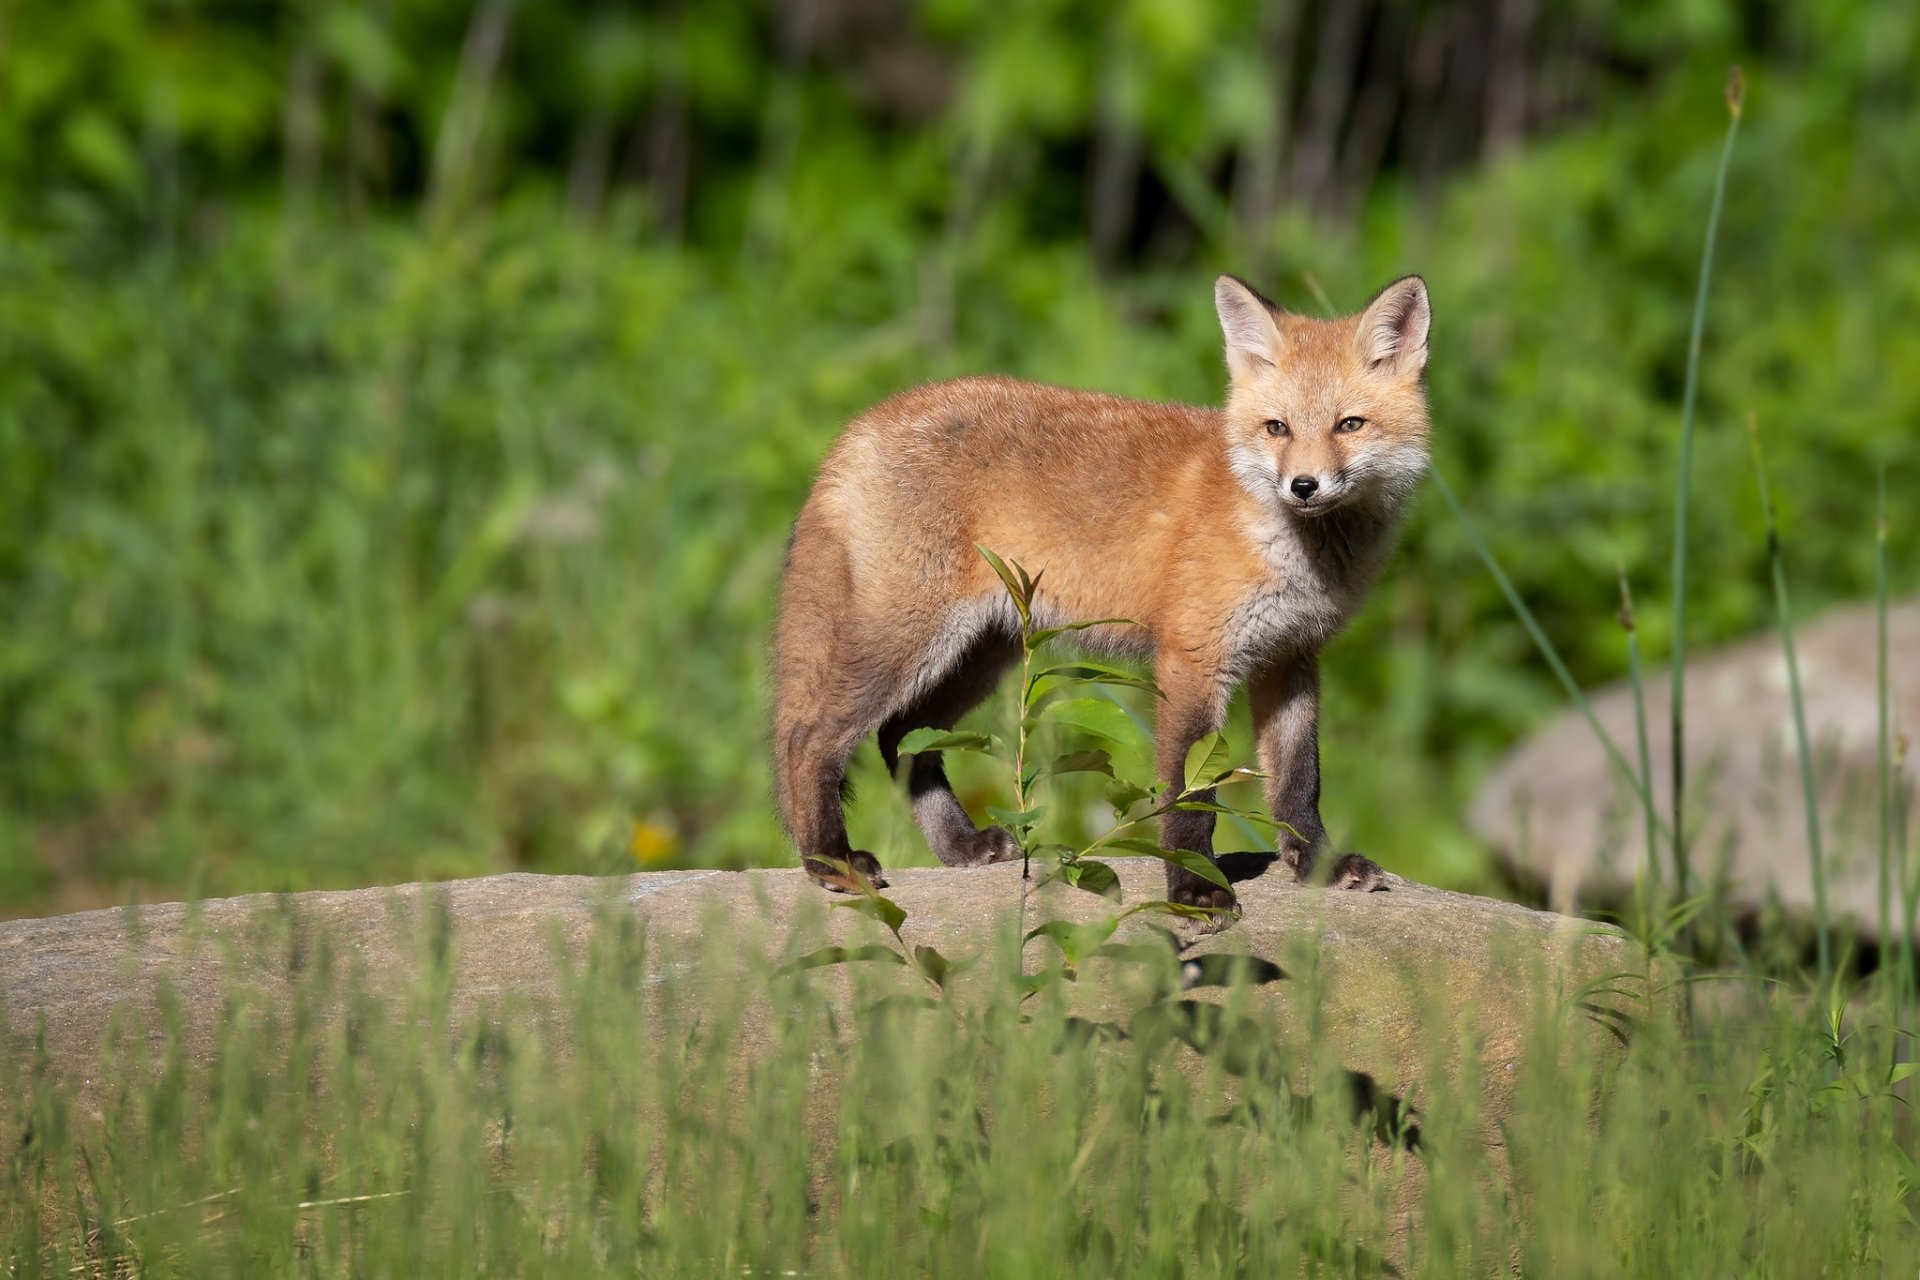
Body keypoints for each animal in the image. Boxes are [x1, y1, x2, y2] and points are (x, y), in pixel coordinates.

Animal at [770, 273, 1431, 924]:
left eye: (1349, 425)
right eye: (1278, 428)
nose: (1304, 486)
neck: (1292, 549)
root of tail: (867, 421)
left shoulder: (1290, 657)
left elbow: (1300, 782)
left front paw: (1320, 866)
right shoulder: (1193, 660)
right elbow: (1188, 794)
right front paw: (1194, 891)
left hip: (979, 654)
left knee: (902, 737)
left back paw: (960, 845)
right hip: (908, 640)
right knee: (810, 738)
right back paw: (830, 861)